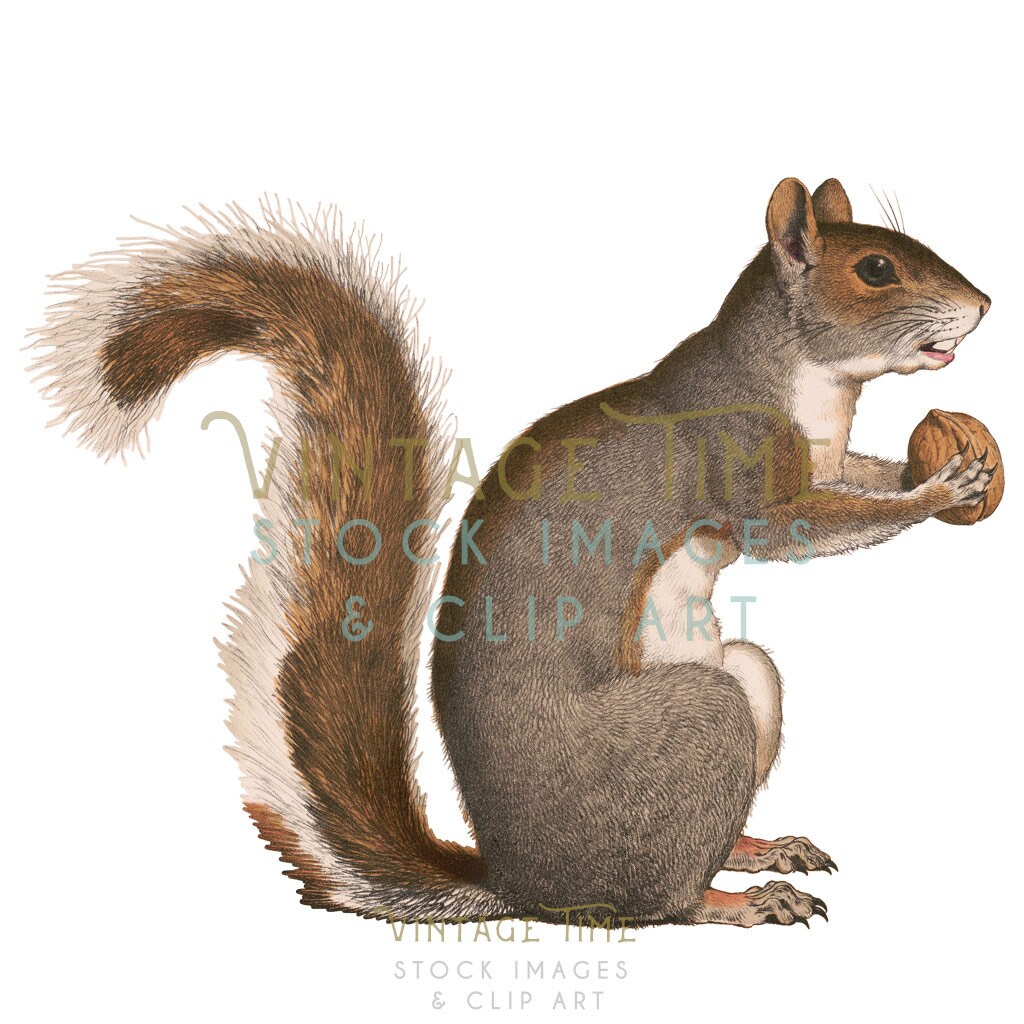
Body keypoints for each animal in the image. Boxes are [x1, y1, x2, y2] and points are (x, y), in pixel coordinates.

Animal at [32, 179, 994, 928]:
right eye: (875, 270)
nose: (983, 307)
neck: (809, 382)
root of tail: (526, 887)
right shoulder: (739, 459)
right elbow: (791, 528)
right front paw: (937, 491)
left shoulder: (823, 458)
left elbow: (851, 480)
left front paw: (934, 468)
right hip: (695, 725)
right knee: (661, 901)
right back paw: (735, 899)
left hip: (745, 680)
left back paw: (761, 847)